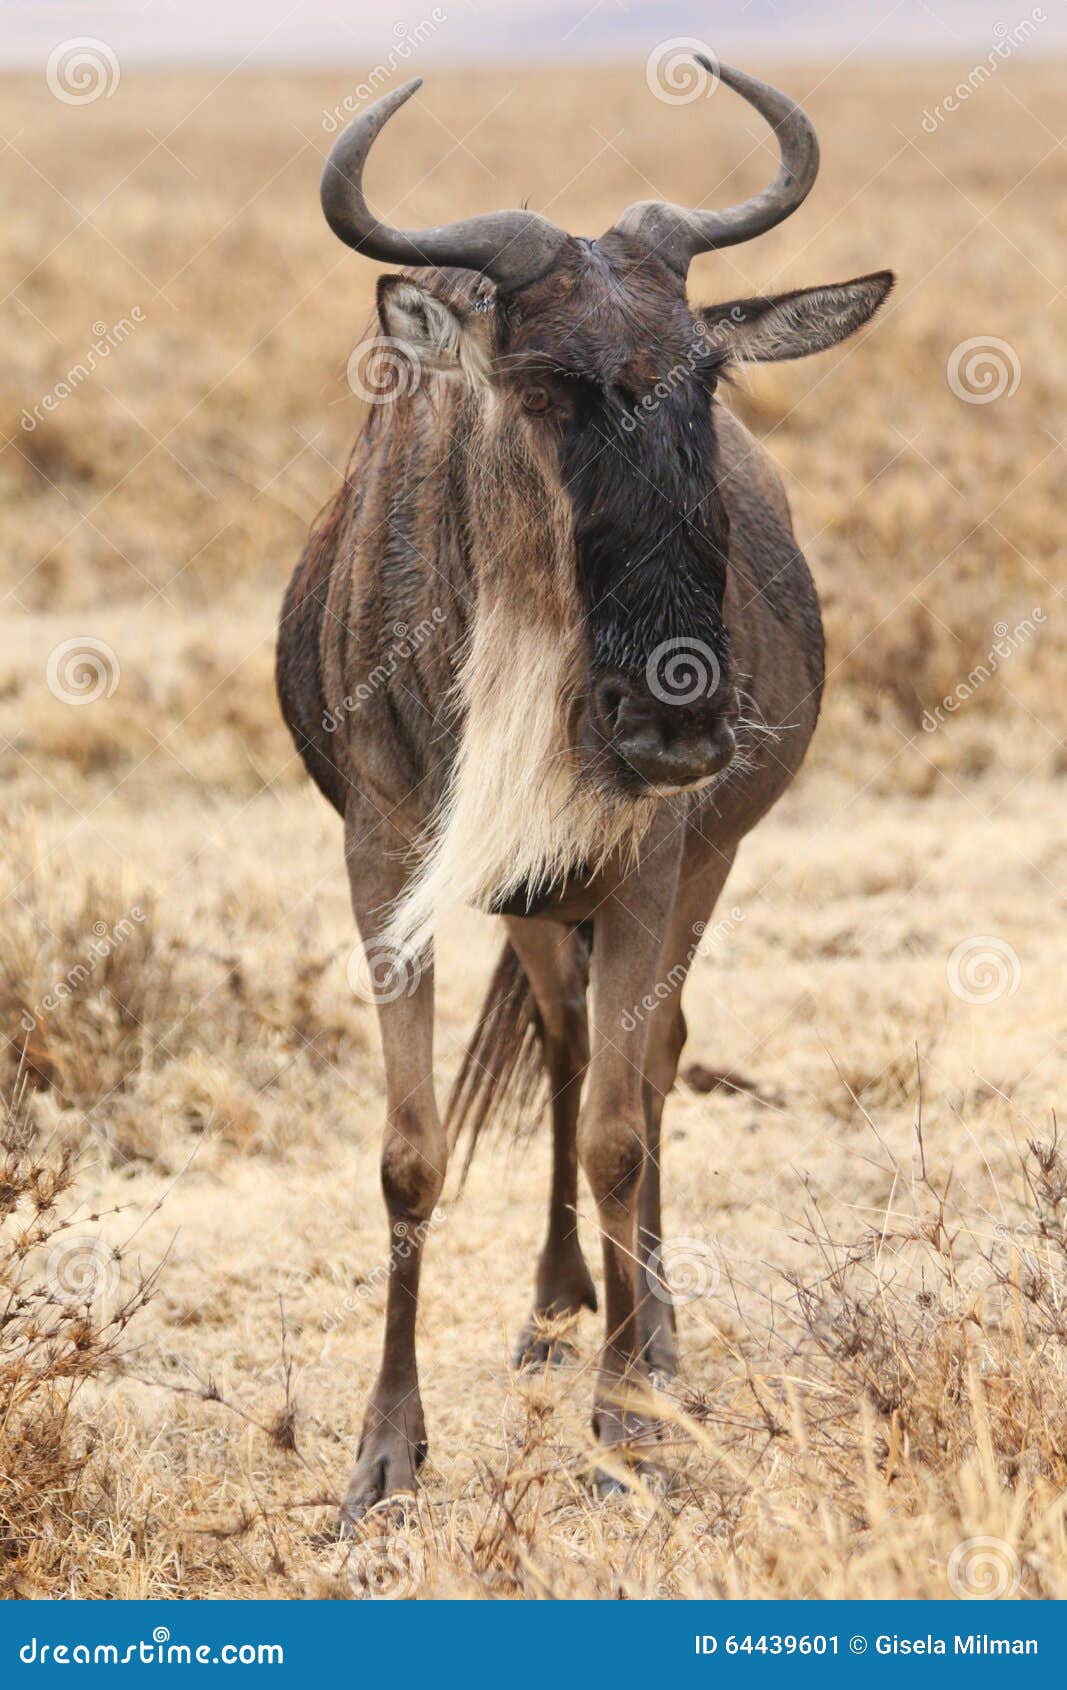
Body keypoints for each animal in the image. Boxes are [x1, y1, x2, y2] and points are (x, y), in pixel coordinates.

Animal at [277, 58, 893, 1523]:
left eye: (704, 380)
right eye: (544, 388)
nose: (676, 719)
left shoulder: (649, 863)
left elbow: (620, 1127)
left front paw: (628, 1420)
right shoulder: (386, 866)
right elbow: (410, 1148)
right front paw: (385, 1451)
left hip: (685, 872)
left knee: (646, 1067)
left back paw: (644, 1326)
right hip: (529, 902)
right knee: (561, 1051)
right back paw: (558, 1300)